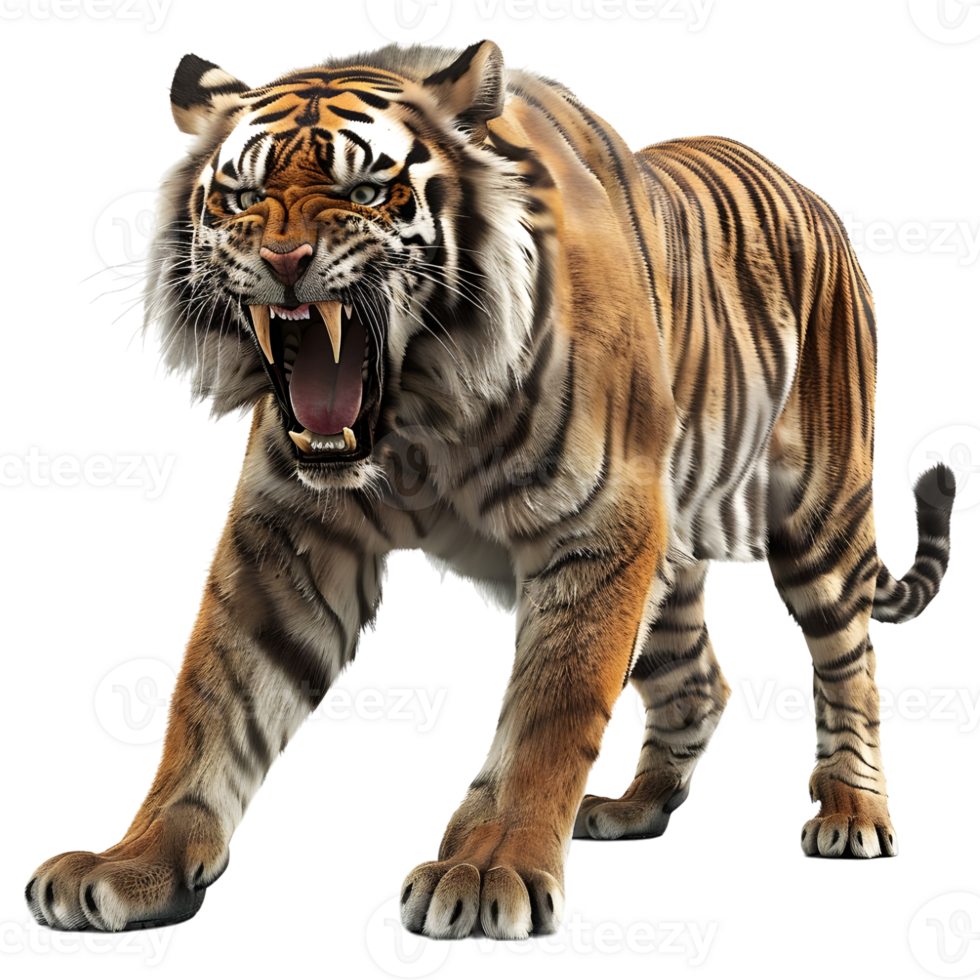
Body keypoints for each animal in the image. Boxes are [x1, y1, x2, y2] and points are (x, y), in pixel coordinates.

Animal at [26, 39, 955, 941]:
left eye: (369, 191)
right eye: (240, 198)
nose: (282, 261)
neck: (416, 422)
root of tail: (797, 182)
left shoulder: (598, 529)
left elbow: (553, 708)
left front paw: (489, 868)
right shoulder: (289, 536)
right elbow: (212, 701)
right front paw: (135, 864)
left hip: (817, 516)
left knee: (849, 666)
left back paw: (850, 811)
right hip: (672, 554)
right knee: (697, 675)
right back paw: (638, 805)